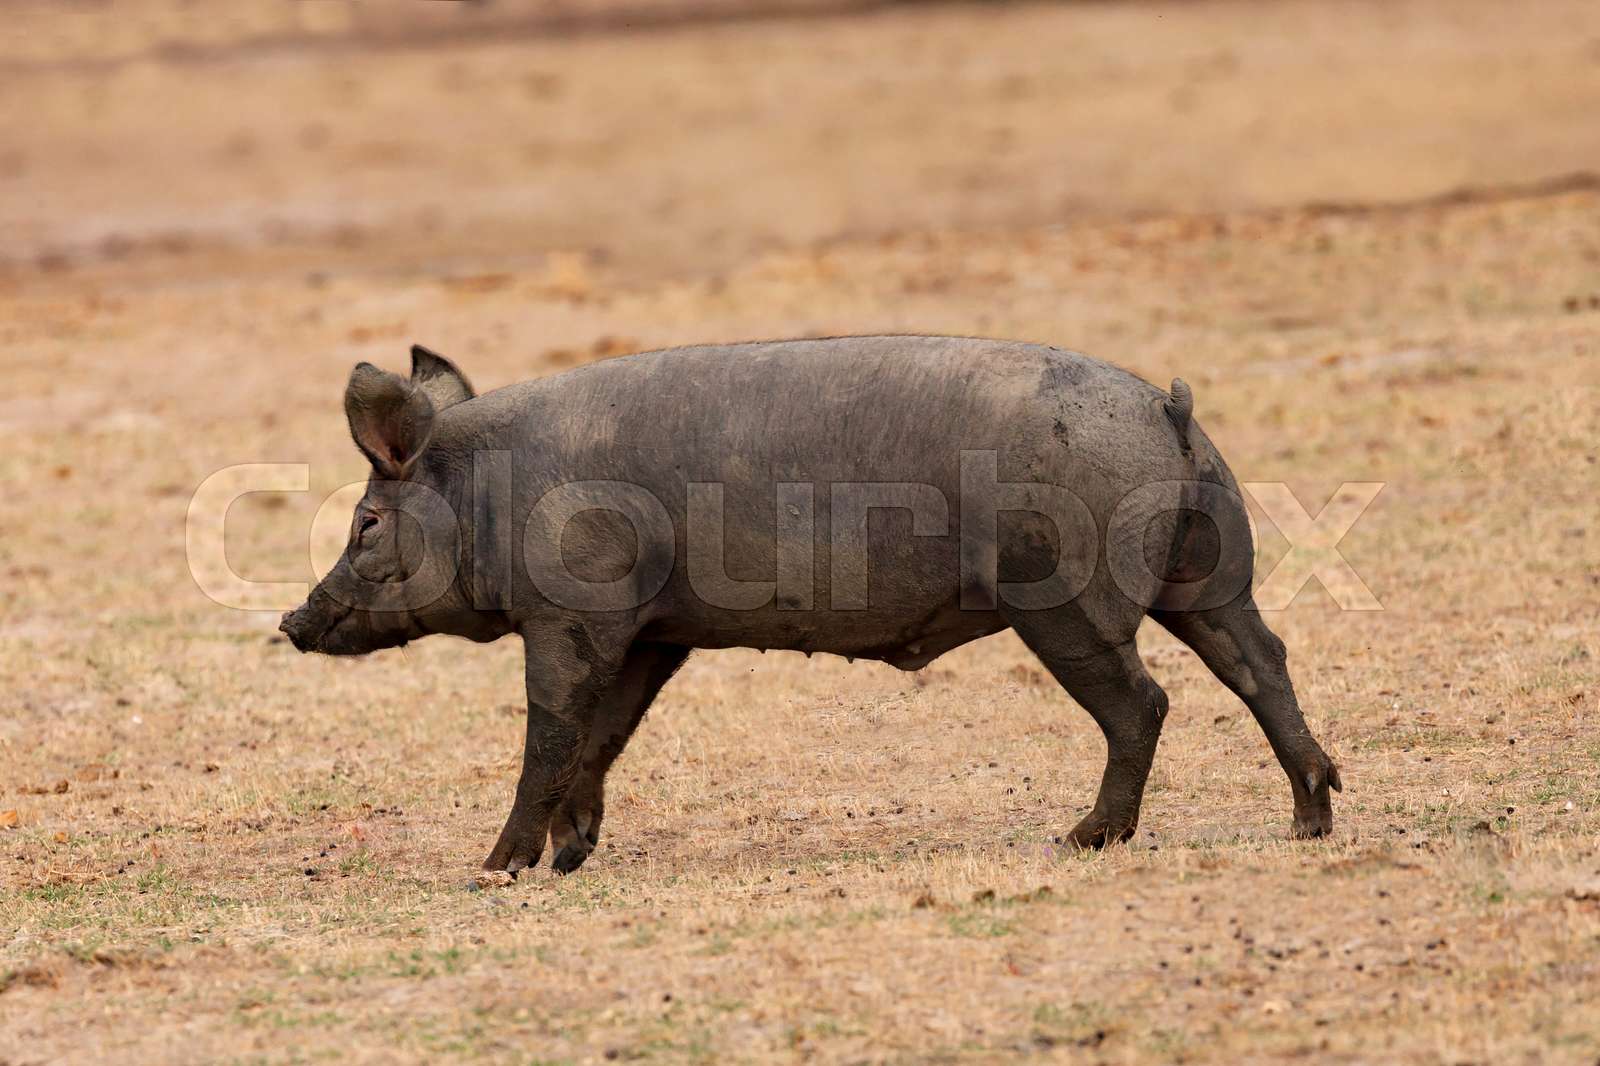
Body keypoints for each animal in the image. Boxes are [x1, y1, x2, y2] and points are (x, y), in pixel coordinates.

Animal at [280, 337, 1341, 874]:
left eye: (366, 522)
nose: (291, 622)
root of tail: (1169, 409)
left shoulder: (573, 616)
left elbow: (551, 730)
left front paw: (498, 868)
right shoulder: (648, 633)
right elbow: (606, 734)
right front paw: (572, 856)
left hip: (1068, 600)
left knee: (1145, 702)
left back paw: (1080, 838)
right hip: (1213, 565)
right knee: (1263, 661)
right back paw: (1310, 821)